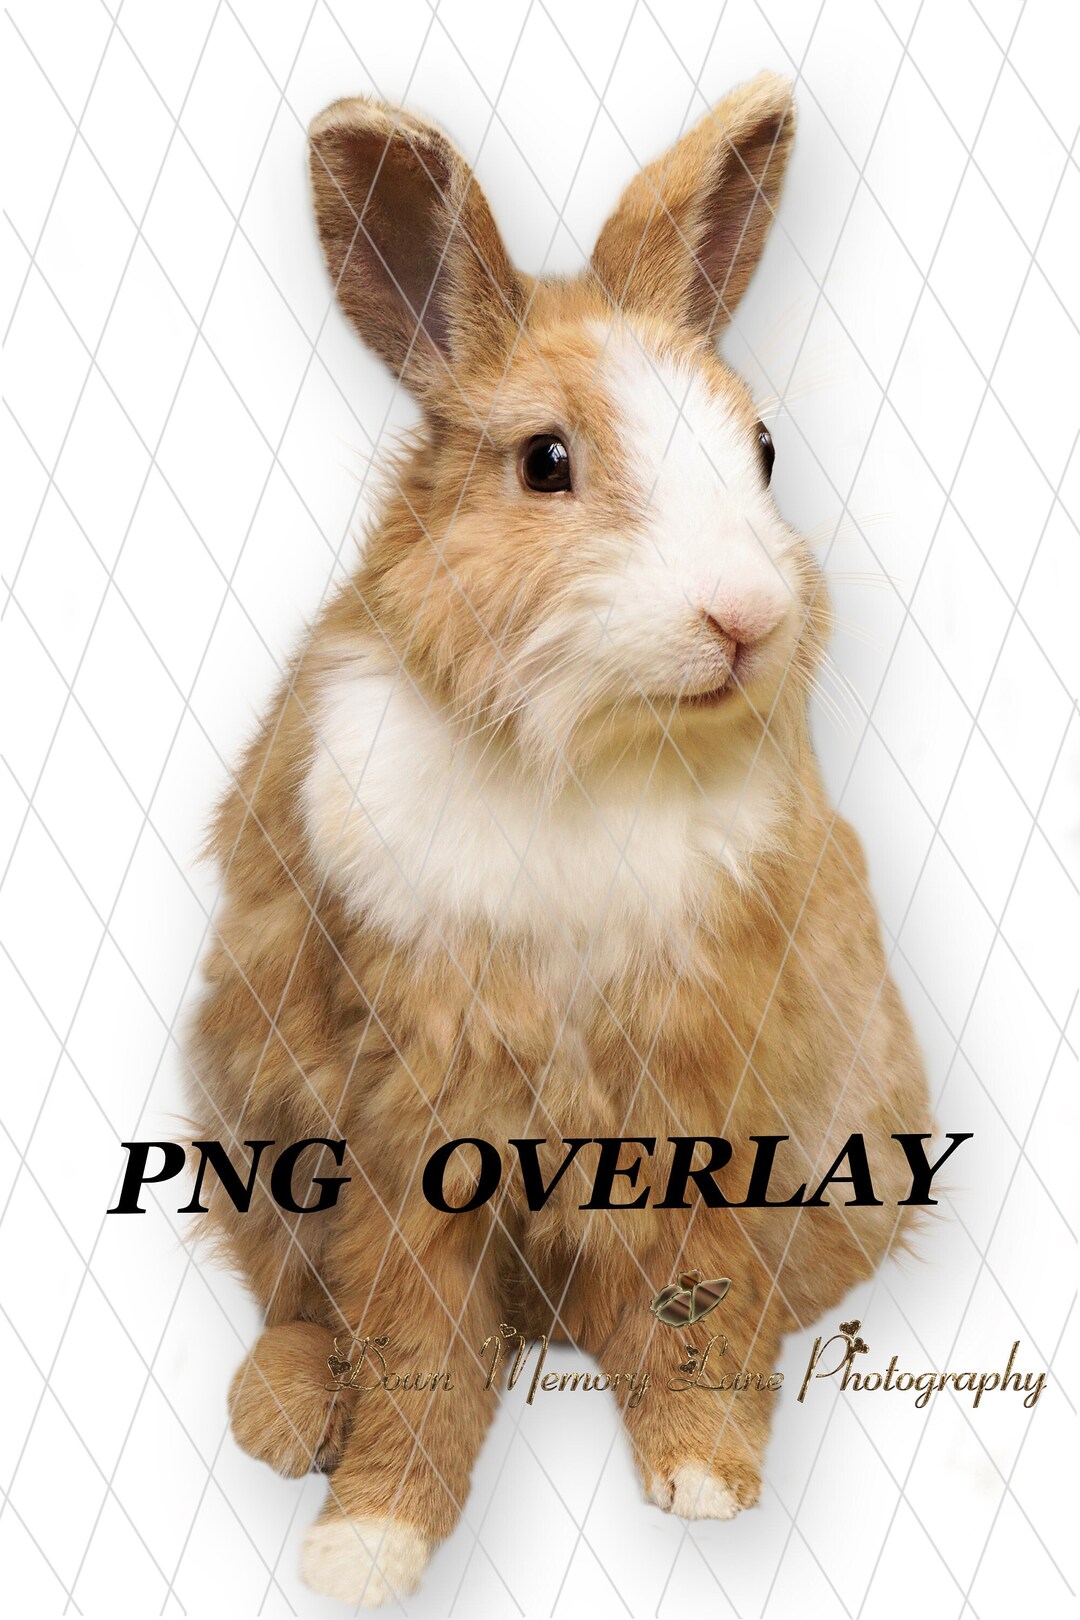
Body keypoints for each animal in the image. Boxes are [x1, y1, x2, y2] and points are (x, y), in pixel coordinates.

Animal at [187, 71, 934, 1607]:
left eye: (762, 452)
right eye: (546, 463)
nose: (745, 619)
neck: (588, 748)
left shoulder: (703, 1084)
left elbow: (691, 1295)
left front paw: (706, 1480)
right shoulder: (405, 1107)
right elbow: (412, 1335)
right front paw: (367, 1543)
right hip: (247, 1097)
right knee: (298, 1303)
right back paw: (280, 1420)